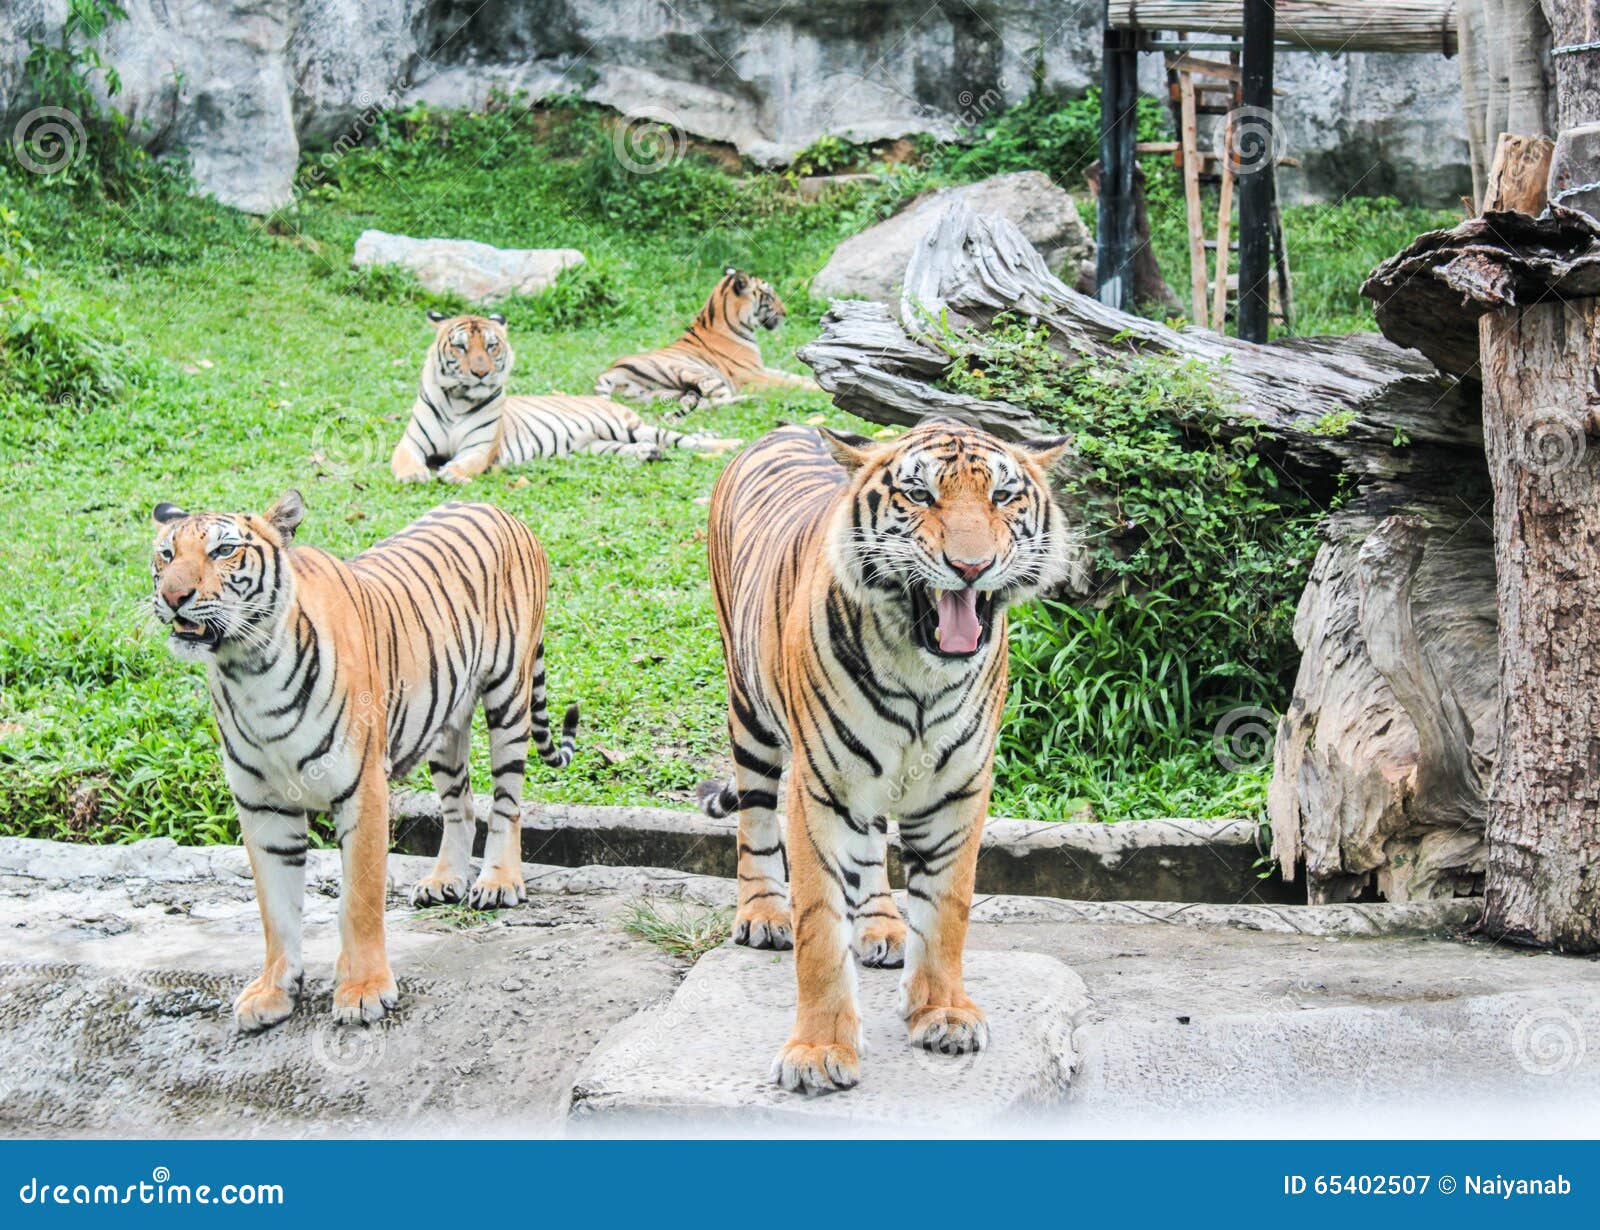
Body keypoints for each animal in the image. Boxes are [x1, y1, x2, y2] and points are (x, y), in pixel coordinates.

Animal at [150, 493, 578, 1033]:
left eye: (224, 550)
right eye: (166, 554)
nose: (174, 596)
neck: (247, 669)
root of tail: (498, 507)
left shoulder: (362, 789)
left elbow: (361, 899)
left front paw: (363, 991)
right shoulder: (262, 806)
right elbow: (275, 908)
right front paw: (273, 992)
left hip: (509, 694)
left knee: (506, 800)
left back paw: (498, 882)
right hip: (443, 718)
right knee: (460, 803)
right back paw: (445, 880)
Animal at [390, 309, 738, 484]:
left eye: (491, 346)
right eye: (460, 347)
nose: (480, 373)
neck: (458, 400)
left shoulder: (479, 449)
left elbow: (465, 463)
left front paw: (452, 473)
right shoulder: (410, 443)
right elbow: (404, 459)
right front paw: (414, 475)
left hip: (630, 427)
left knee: (685, 440)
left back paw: (730, 445)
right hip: (596, 446)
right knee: (638, 448)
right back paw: (647, 454)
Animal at [594, 268, 821, 411]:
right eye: (770, 295)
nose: (785, 313)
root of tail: (610, 371)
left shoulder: (760, 368)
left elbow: (793, 377)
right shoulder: (751, 376)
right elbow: (787, 382)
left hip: (660, 394)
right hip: (699, 373)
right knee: (713, 403)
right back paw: (760, 400)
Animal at [697, 420, 1073, 1093]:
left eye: (1003, 498)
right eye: (920, 496)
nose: (971, 567)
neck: (922, 671)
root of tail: (785, 426)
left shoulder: (957, 791)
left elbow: (946, 911)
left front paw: (943, 1014)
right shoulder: (820, 790)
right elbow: (819, 927)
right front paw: (818, 1051)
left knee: (872, 851)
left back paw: (882, 925)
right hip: (749, 711)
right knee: (755, 822)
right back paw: (763, 915)